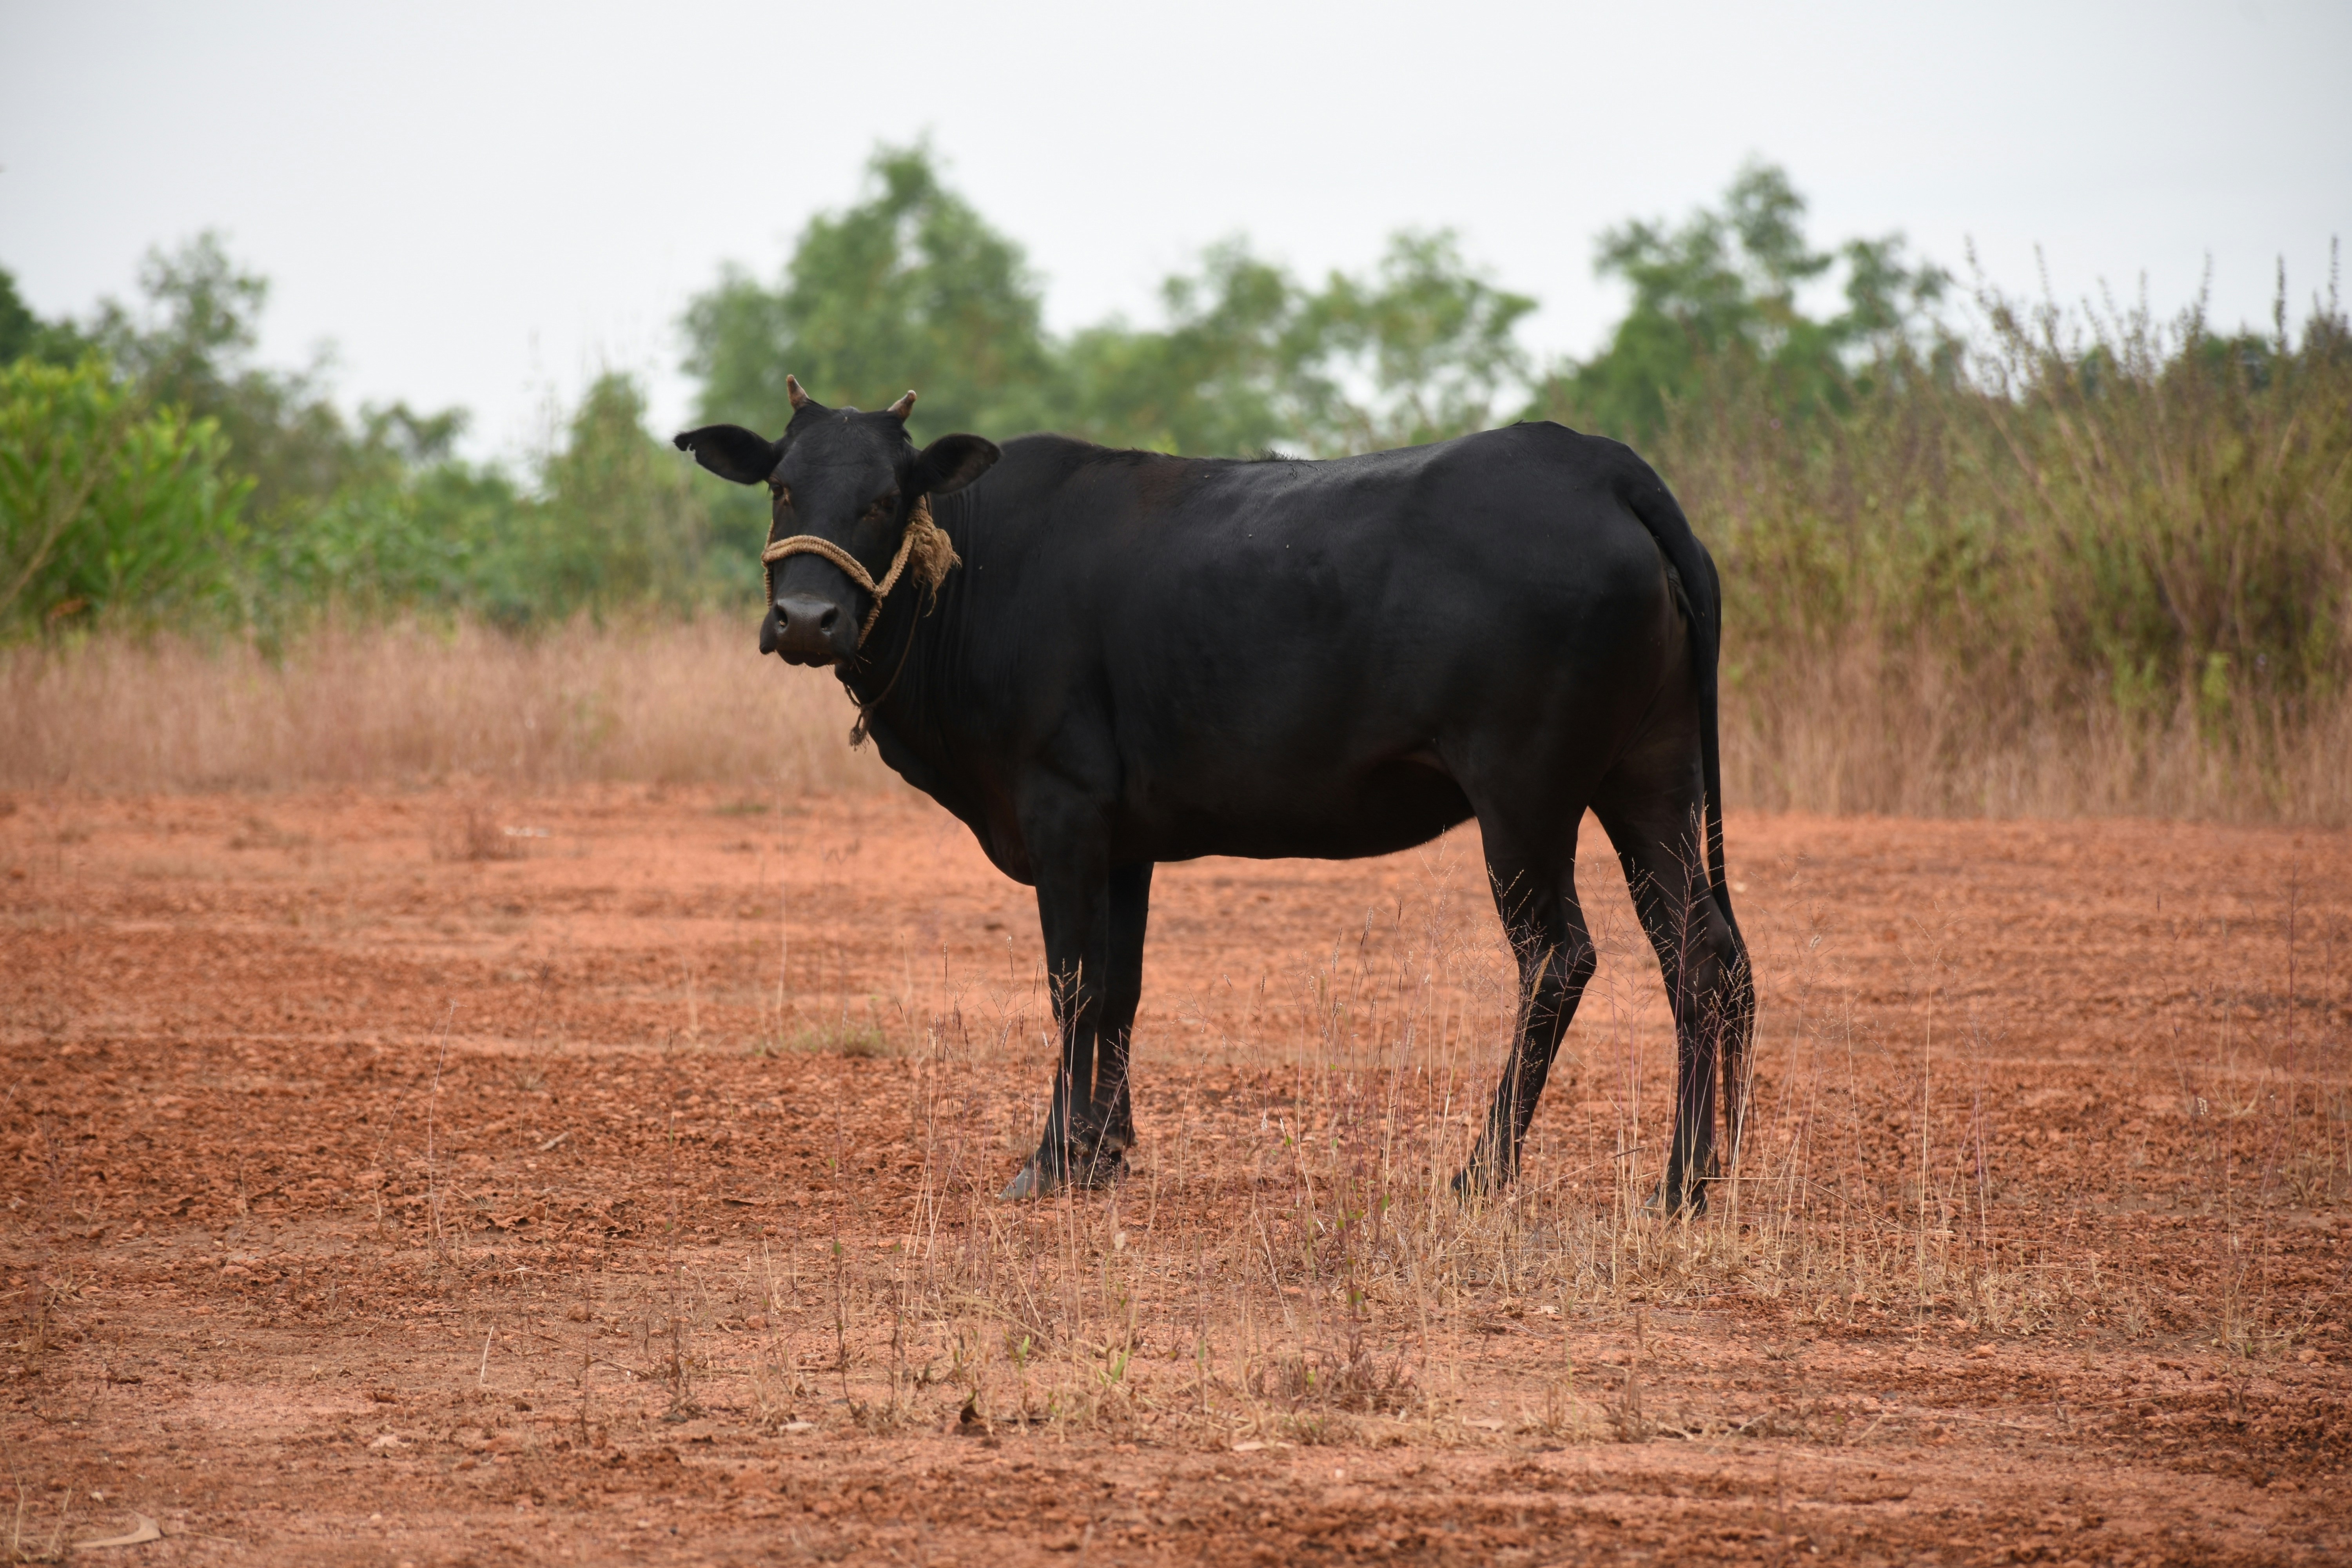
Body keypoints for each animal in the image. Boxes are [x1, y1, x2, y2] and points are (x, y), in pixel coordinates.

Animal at [675, 377, 1754, 1210]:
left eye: (888, 496)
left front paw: (1051, 1161)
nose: (805, 617)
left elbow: (1073, 983)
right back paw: (1689, 1180)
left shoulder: (1061, 808)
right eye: (781, 486)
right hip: (1651, 772)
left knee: (1560, 957)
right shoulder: (1124, 839)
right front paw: (1104, 1152)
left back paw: (1484, 1170)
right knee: (1702, 948)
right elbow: (1120, 986)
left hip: (1526, 791)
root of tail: (1598, 463)